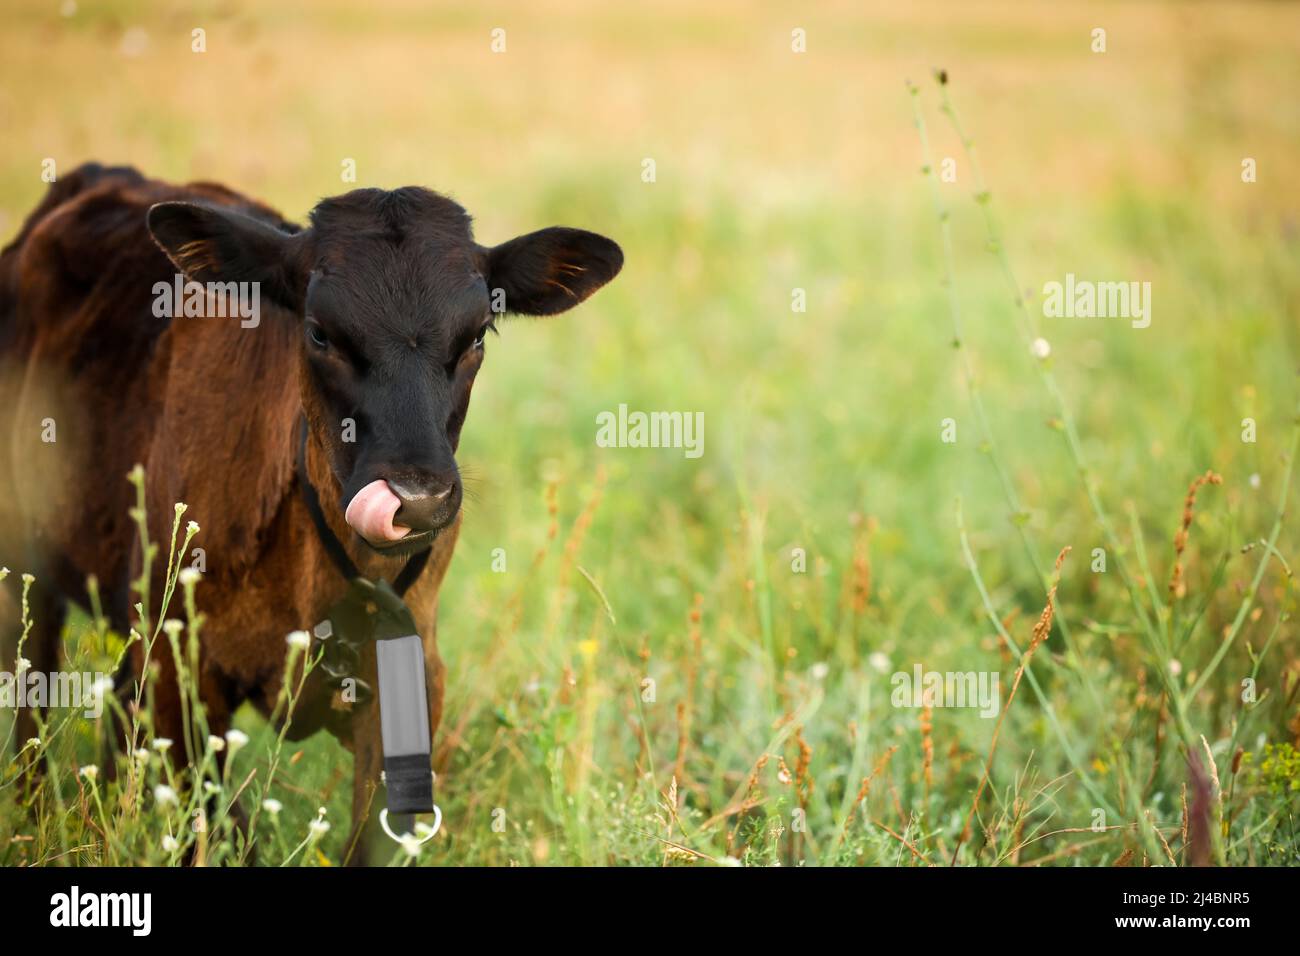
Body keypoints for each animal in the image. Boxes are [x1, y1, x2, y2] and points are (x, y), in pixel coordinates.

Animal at [0, 162, 622, 860]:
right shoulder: (175, 666)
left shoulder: (414, 678)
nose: (417, 498)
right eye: (321, 332)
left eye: (475, 337)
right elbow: (217, 831)